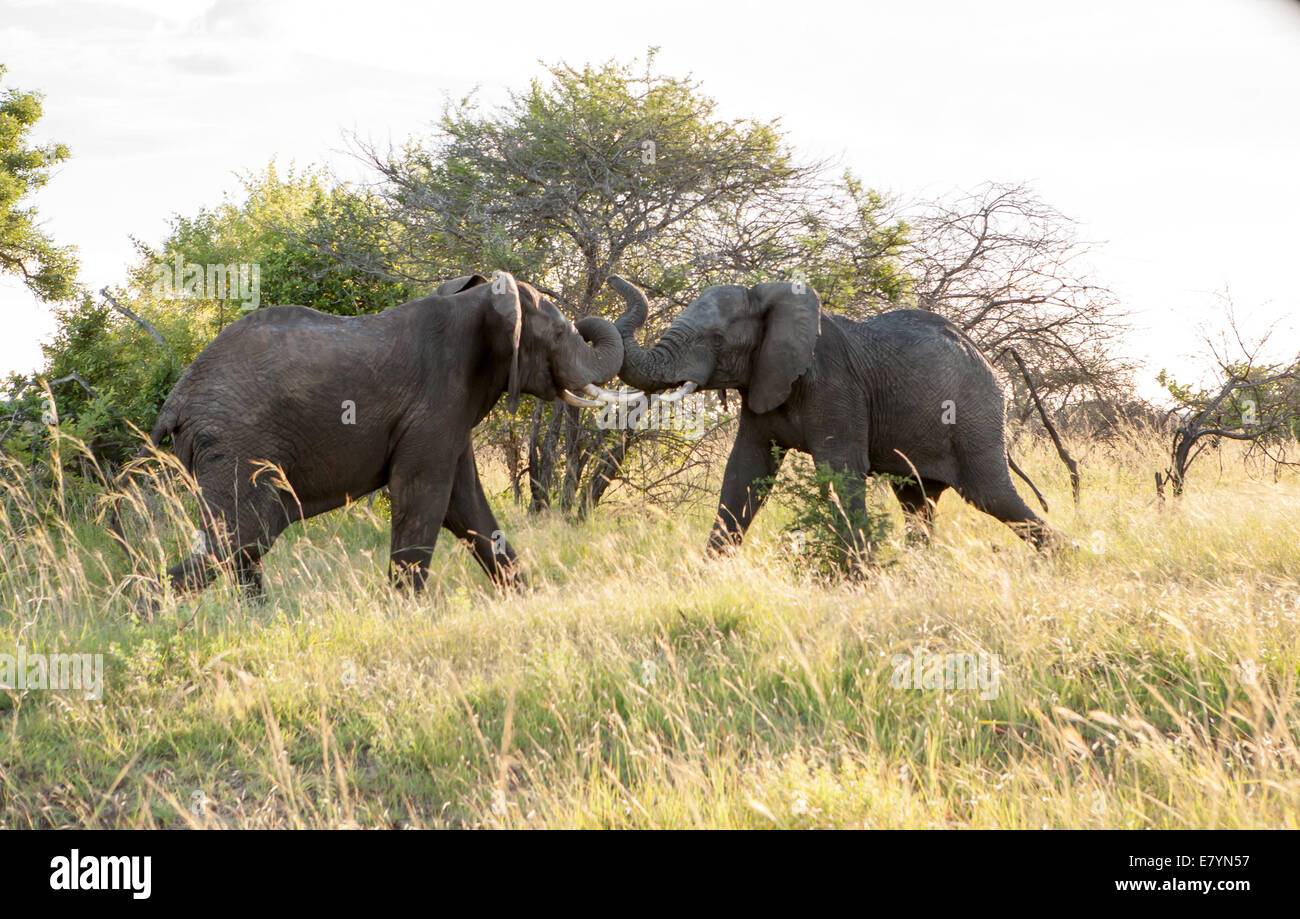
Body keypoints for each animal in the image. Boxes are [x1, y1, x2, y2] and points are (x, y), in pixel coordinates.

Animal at [141, 272, 625, 596]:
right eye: (560, 332)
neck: (479, 303)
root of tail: (175, 401)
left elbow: (467, 506)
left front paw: (524, 597)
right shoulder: (432, 408)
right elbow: (423, 498)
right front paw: (405, 613)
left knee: (239, 550)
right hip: (237, 447)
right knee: (240, 541)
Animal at [608, 275, 1052, 557]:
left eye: (716, 340)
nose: (614, 278)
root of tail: (986, 358)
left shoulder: (835, 387)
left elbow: (841, 470)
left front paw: (861, 579)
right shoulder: (762, 380)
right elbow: (744, 473)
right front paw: (710, 572)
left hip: (977, 415)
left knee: (992, 495)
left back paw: (1059, 561)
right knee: (917, 503)